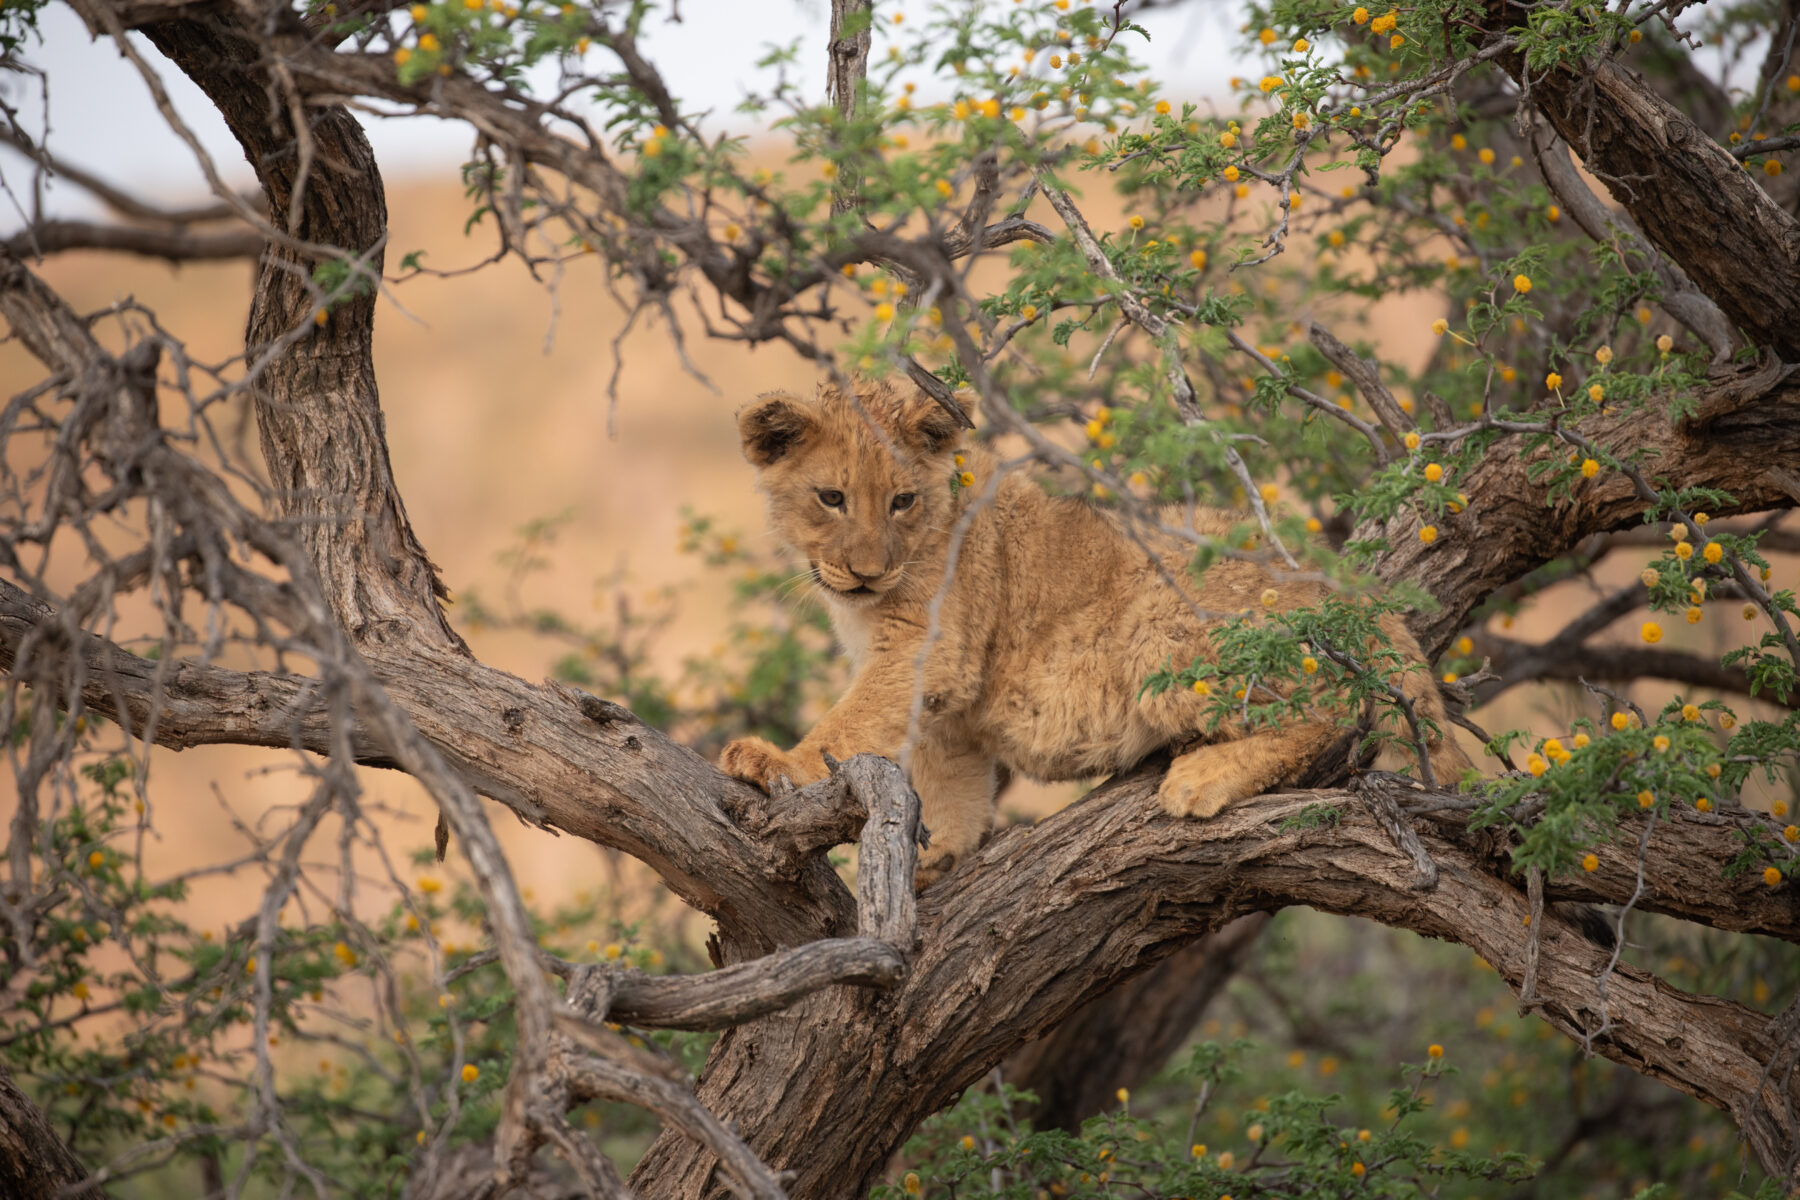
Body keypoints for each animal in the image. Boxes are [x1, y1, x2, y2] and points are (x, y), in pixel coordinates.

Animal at [719, 376, 1472, 885]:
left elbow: (846, 726)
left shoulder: (927, 648)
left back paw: (1201, 775)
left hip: (1157, 624)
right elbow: (949, 778)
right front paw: (938, 860)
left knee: (1328, 715)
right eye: (832, 498)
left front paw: (774, 763)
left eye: (901, 501)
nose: (868, 572)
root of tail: (1344, 589)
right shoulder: (949, 704)